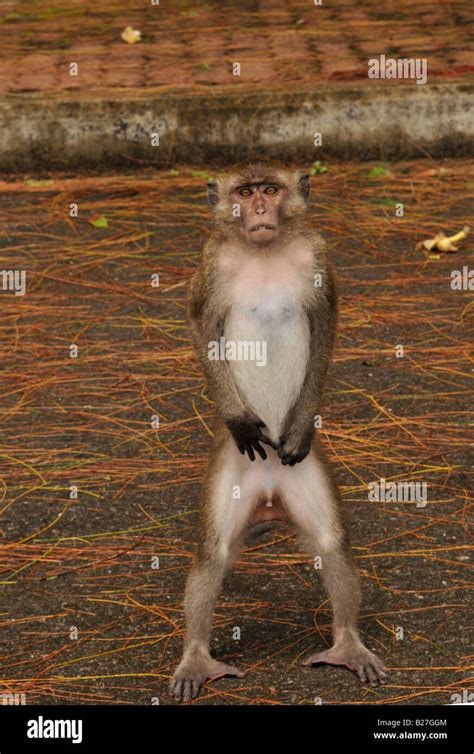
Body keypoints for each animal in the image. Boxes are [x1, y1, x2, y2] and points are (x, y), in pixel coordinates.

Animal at [170, 159, 387, 701]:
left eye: (271, 189)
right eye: (244, 193)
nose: (260, 212)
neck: (263, 252)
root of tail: (269, 490)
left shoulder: (318, 254)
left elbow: (326, 322)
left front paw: (304, 420)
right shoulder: (212, 261)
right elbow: (200, 324)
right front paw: (239, 418)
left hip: (301, 471)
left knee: (331, 542)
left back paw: (347, 645)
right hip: (232, 468)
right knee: (212, 554)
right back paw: (196, 657)